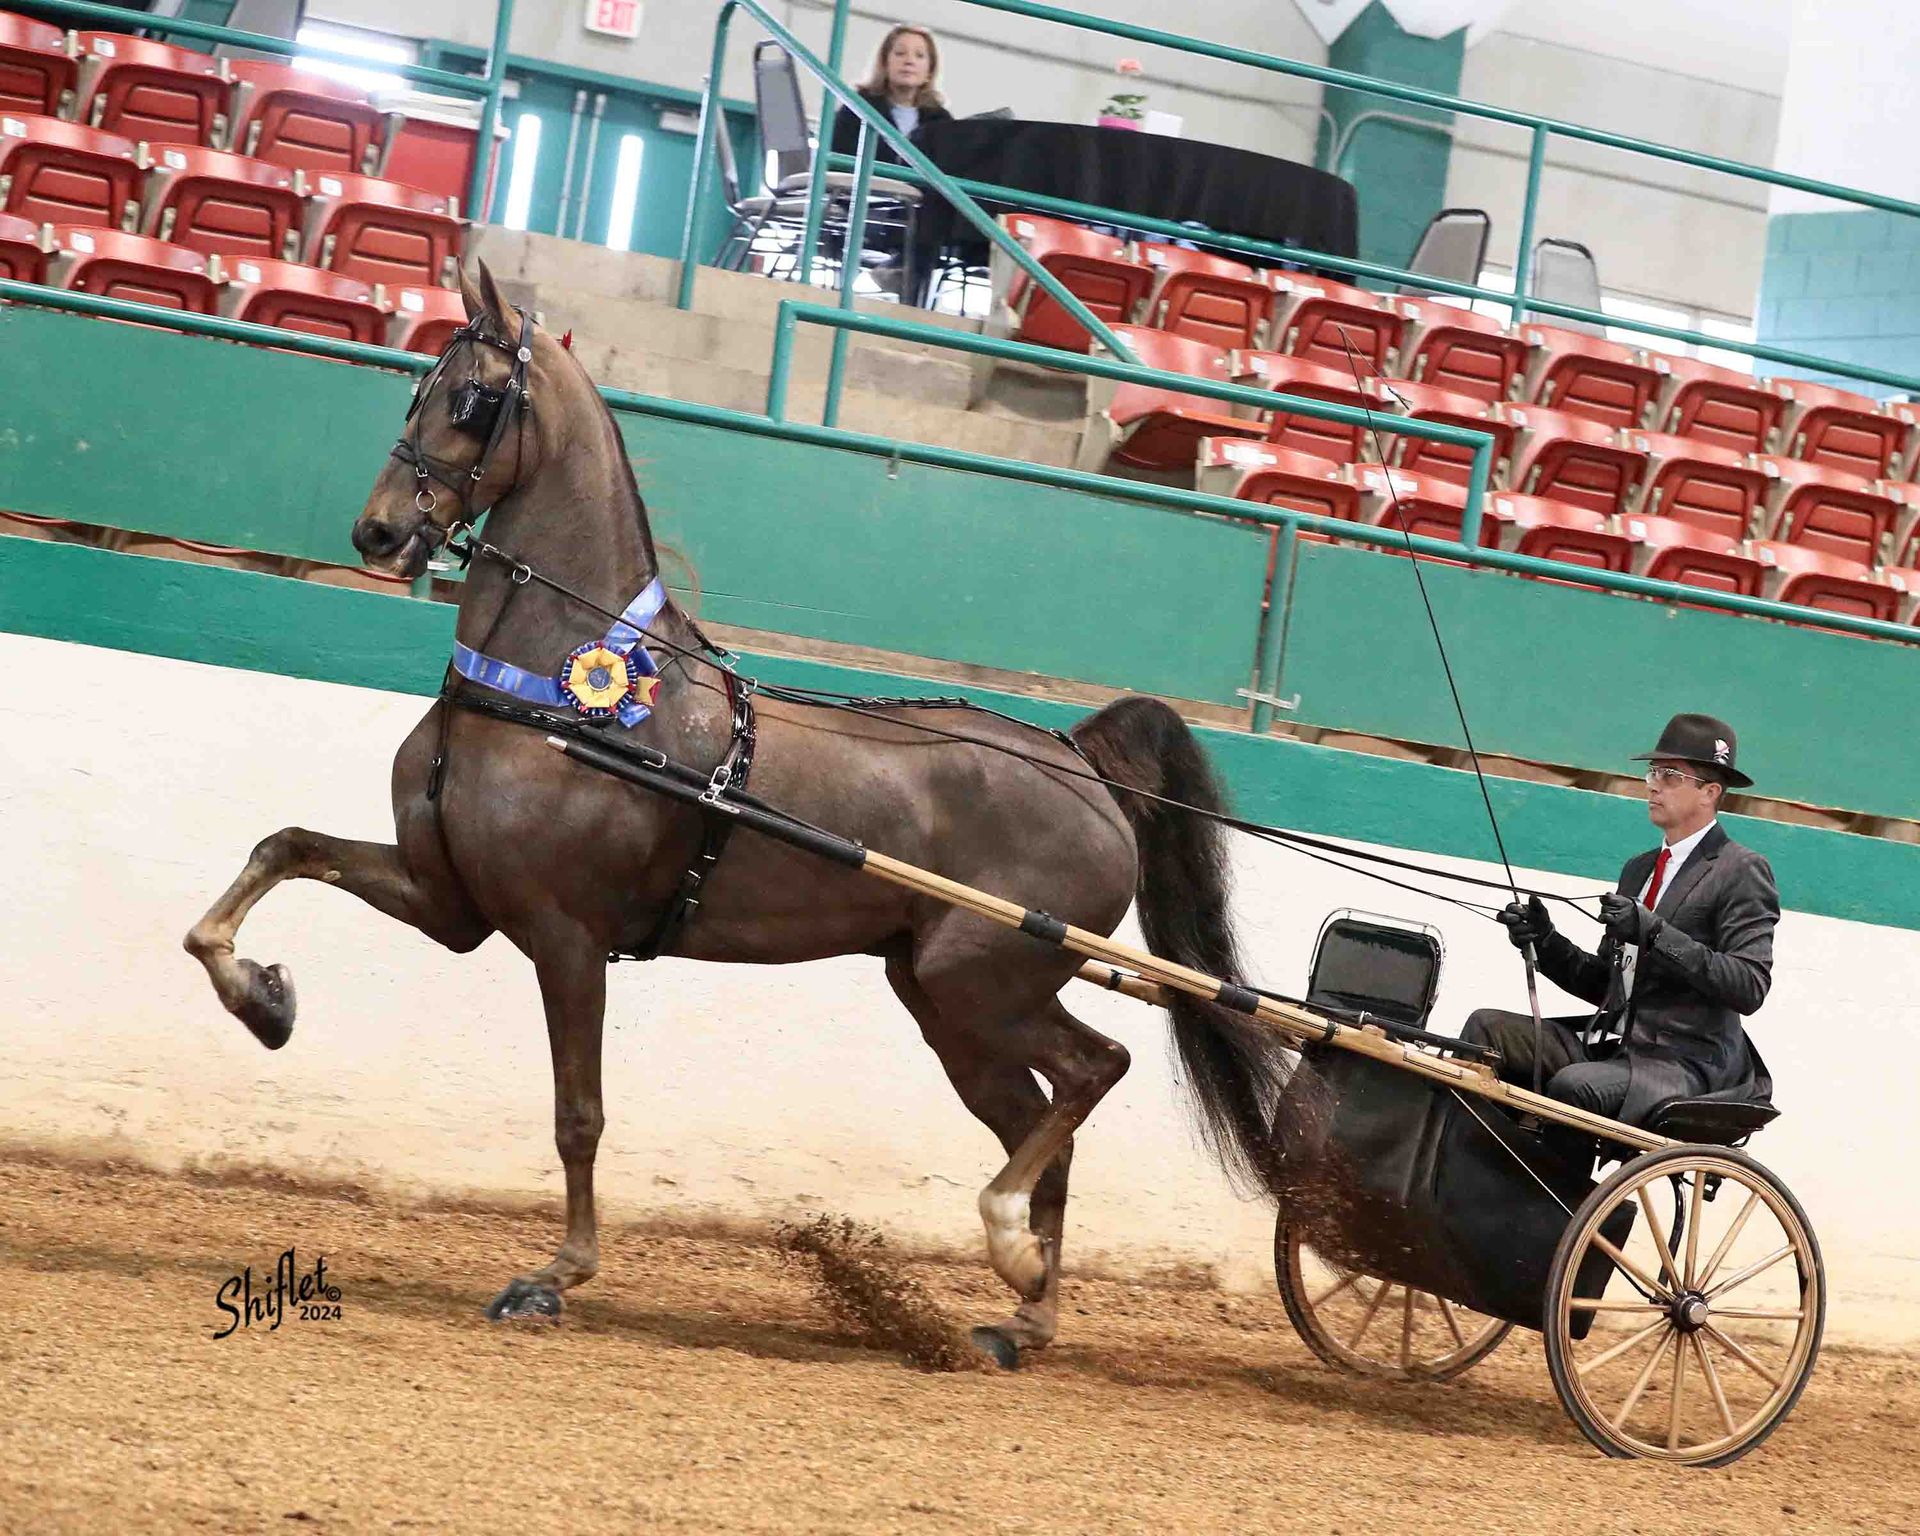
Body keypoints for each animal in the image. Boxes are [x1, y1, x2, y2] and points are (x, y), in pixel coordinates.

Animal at [184, 262, 1292, 1361]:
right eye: (421, 386)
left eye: (474, 399)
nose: (377, 531)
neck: (551, 686)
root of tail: (1078, 760)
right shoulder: (448, 900)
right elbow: (285, 847)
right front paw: (261, 999)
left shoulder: (563, 934)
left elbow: (578, 1113)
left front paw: (555, 1276)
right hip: (947, 1002)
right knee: (1038, 1120)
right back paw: (1023, 1315)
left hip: (984, 980)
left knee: (1094, 1070)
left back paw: (1015, 1255)